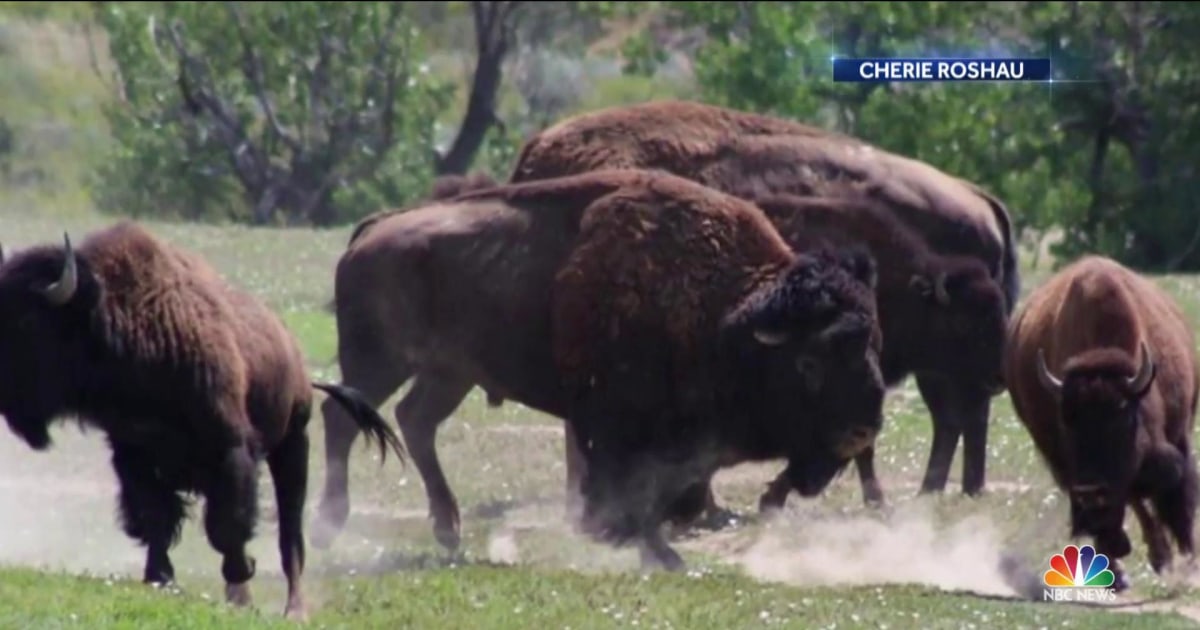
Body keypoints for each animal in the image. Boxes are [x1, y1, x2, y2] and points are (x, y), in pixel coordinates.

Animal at [0, 222, 408, 620]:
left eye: (28, 322)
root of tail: (297, 362)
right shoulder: (132, 458)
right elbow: (155, 519)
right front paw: (160, 576)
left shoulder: (230, 450)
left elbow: (227, 527)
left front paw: (242, 574)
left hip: (292, 446)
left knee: (290, 538)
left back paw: (293, 609)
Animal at [310, 169, 884, 558]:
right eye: (808, 362)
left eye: (873, 344)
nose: (863, 428)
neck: (725, 309)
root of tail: (372, 231)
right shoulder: (611, 421)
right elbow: (620, 476)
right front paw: (616, 530)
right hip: (380, 363)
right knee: (343, 419)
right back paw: (329, 527)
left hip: (451, 374)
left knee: (415, 420)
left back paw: (447, 530)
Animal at [507, 99, 1018, 510]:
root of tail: (979, 199)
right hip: (946, 369)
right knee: (957, 417)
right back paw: (943, 491)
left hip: (950, 369)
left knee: (962, 416)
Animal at [1005, 255, 1198, 591]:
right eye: (1066, 420)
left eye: (1122, 414)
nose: (1091, 489)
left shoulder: (1176, 439)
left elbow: (1177, 497)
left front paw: (1190, 560)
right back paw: (1124, 567)